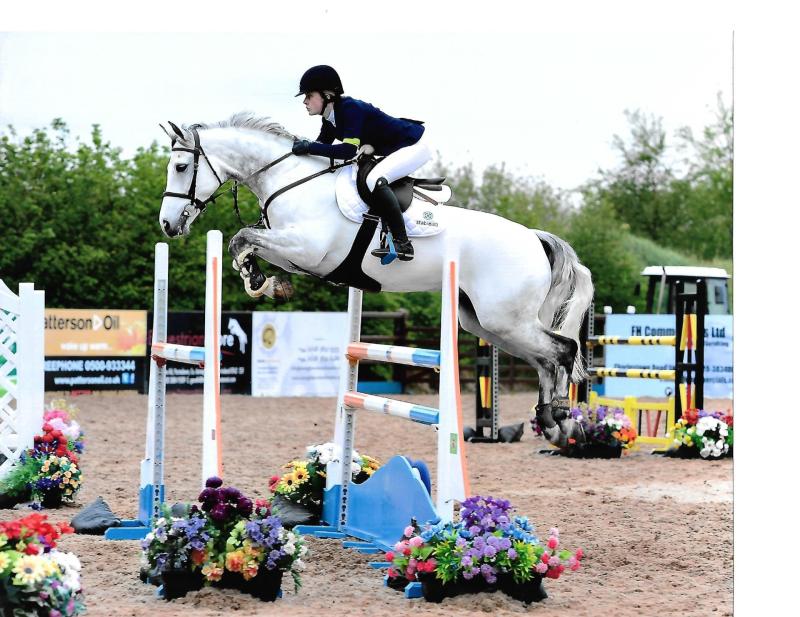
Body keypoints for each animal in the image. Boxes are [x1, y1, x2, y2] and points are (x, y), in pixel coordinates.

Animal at [158, 113, 594, 447]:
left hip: (505, 318)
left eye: (180, 167)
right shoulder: (296, 254)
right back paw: (550, 422)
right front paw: (265, 282)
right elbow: (245, 243)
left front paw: (260, 278)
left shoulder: (307, 248)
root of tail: (534, 238)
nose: (167, 225)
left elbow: (242, 237)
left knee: (562, 350)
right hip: (486, 322)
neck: (289, 179)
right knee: (544, 358)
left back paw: (561, 418)